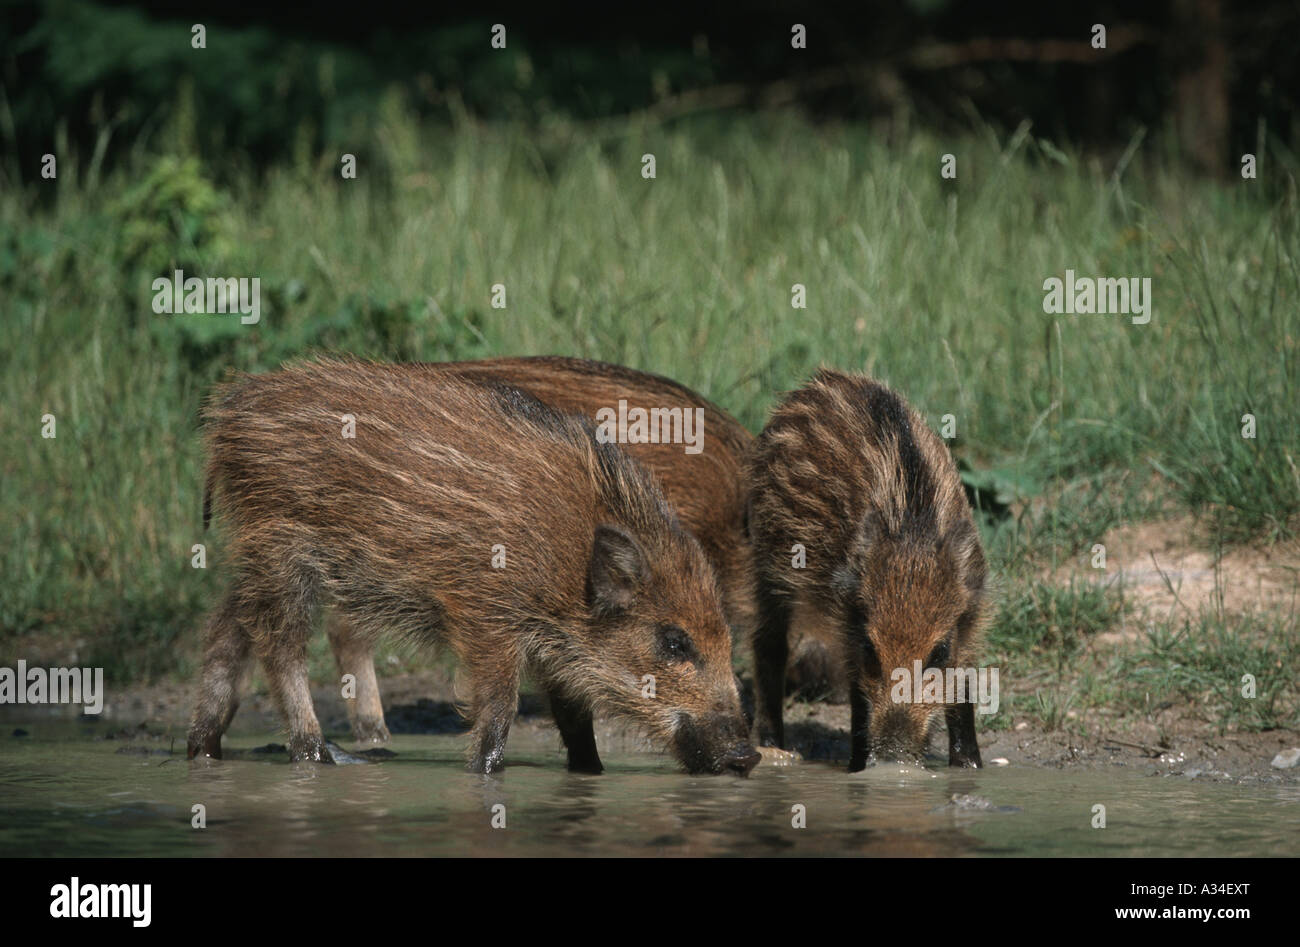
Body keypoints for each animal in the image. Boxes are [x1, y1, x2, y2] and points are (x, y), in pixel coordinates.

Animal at [187, 359, 759, 776]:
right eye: (674, 641)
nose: (748, 755)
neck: (568, 553)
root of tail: (230, 408)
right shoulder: (486, 618)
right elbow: (499, 709)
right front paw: (483, 772)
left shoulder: (556, 646)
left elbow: (575, 717)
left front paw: (590, 774)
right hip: (281, 552)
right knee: (278, 646)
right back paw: (317, 754)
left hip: (262, 559)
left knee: (225, 629)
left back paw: (204, 749)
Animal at [745, 370, 988, 770]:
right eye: (872, 651)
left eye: (938, 654)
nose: (894, 754)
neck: (911, 534)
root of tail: (816, 382)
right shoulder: (848, 617)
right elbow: (857, 687)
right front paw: (858, 768)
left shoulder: (971, 612)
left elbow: (963, 682)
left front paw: (970, 766)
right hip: (767, 565)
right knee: (768, 645)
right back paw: (771, 746)